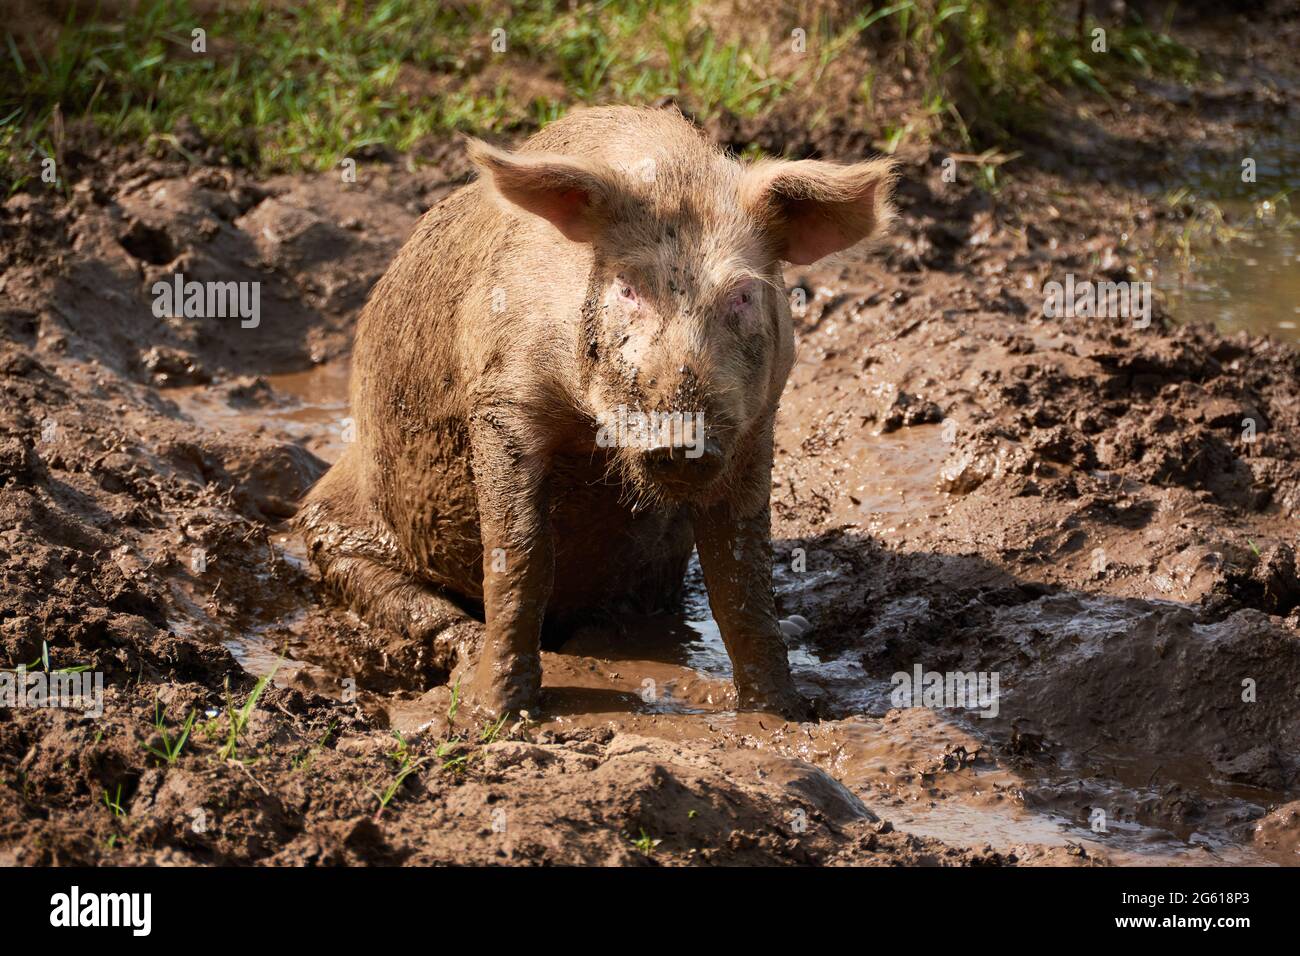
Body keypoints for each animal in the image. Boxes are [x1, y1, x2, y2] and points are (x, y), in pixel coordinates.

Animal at [295, 105, 893, 718]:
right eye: (628, 287)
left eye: (743, 295)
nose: (682, 439)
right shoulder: (502, 401)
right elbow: (521, 556)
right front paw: (495, 712)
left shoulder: (755, 422)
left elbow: (742, 574)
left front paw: (786, 713)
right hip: (333, 521)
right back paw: (463, 658)